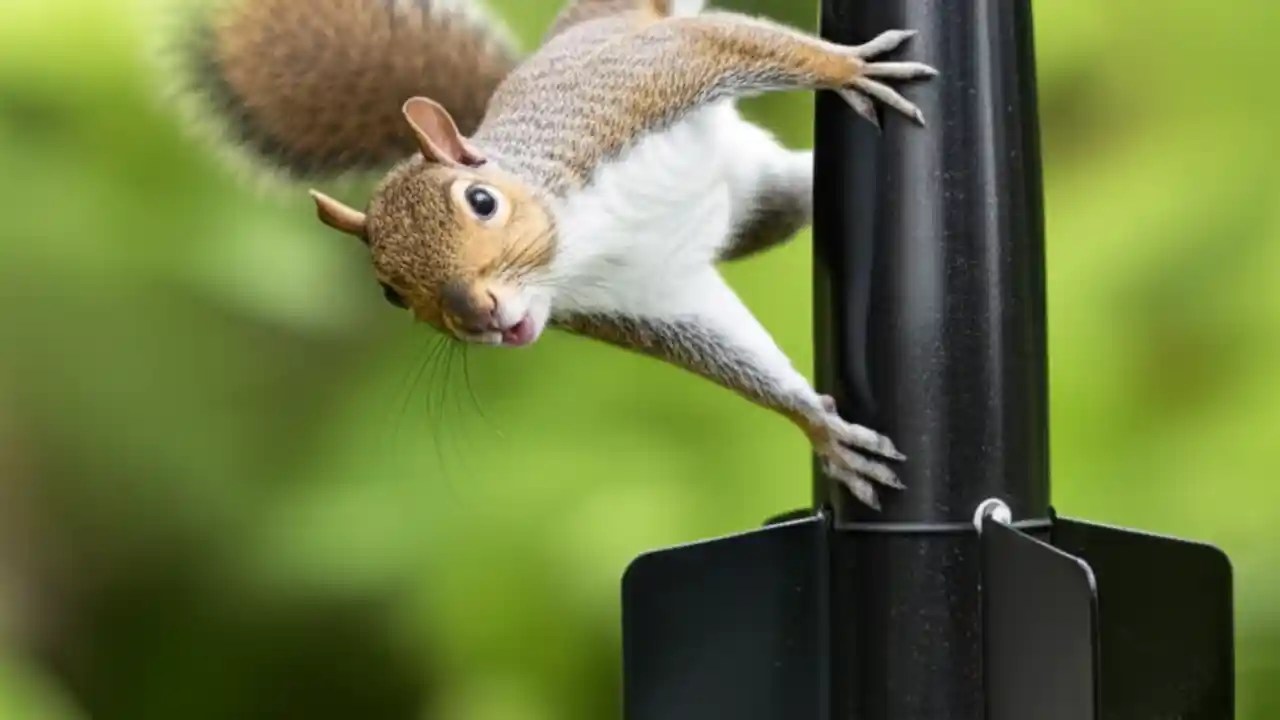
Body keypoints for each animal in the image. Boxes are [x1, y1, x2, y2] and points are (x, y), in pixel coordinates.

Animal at [172, 0, 937, 509]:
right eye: (389, 292)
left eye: (482, 202)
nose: (479, 315)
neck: (576, 238)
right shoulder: (645, 300)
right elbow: (731, 358)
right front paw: (823, 430)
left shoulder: (638, 86)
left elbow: (722, 44)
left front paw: (846, 67)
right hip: (764, 210)